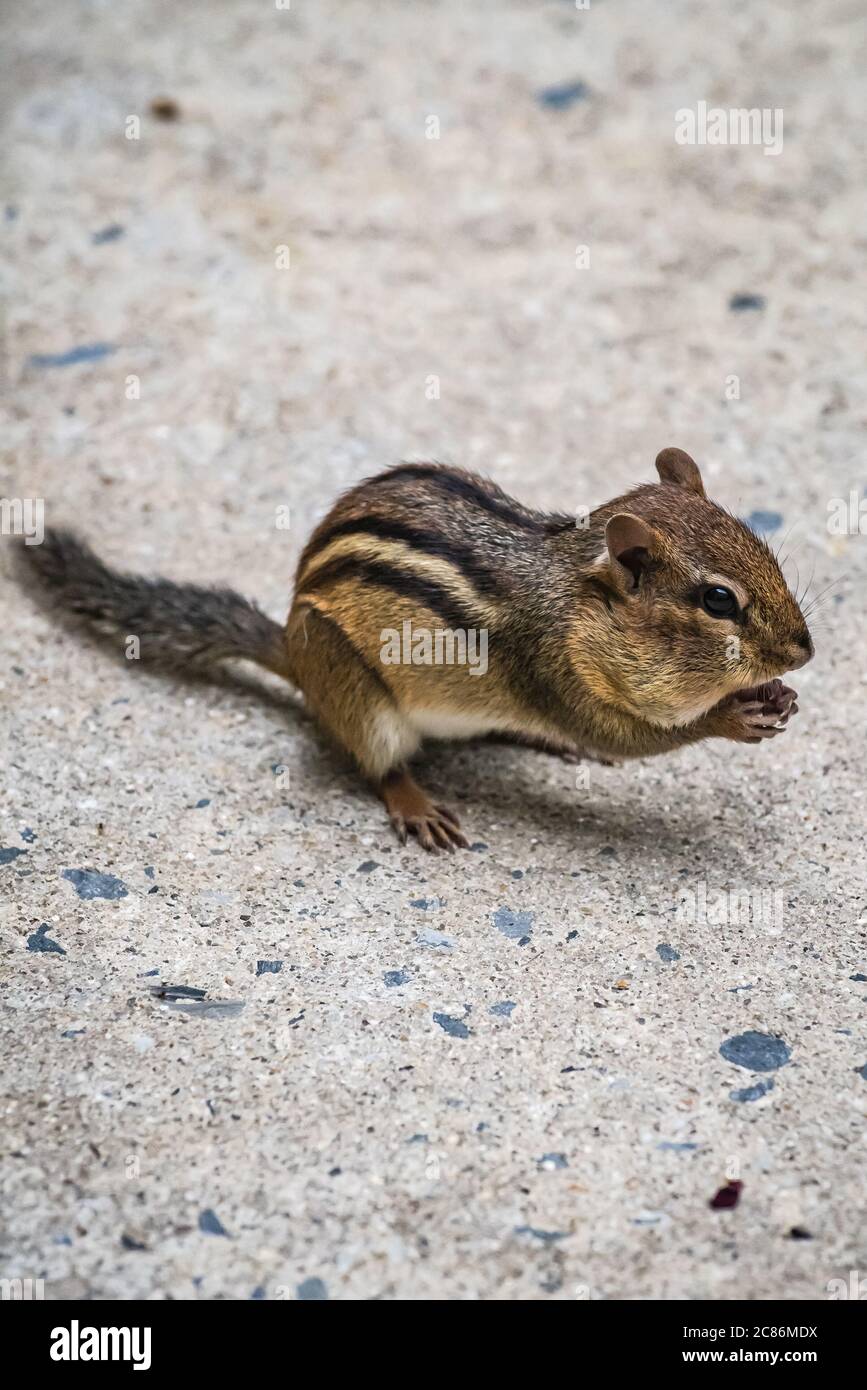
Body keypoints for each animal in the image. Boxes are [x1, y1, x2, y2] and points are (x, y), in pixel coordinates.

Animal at [18, 448, 812, 852]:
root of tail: (292, 654)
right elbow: (629, 734)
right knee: (380, 761)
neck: (573, 597)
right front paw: (734, 715)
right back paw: (413, 800)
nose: (803, 650)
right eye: (718, 601)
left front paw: (771, 695)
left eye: (762, 544)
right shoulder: (554, 671)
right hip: (354, 690)